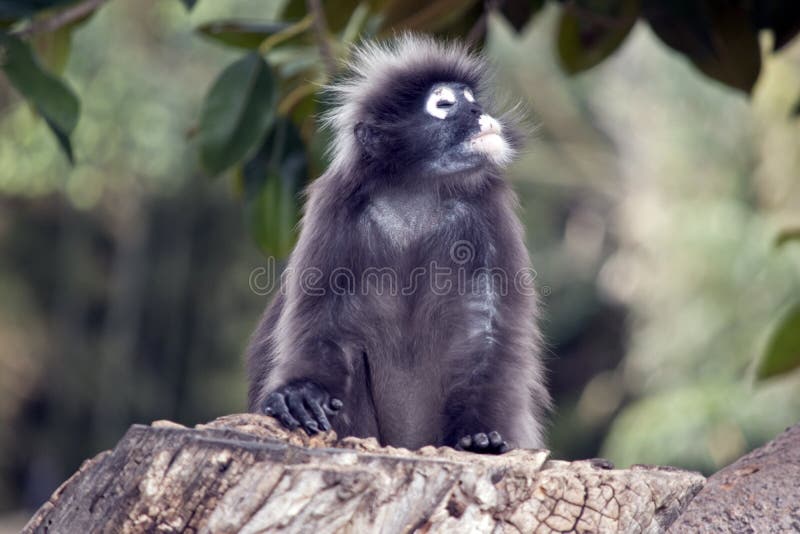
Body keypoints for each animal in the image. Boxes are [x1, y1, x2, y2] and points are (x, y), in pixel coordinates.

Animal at [247, 34, 550, 454]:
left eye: (472, 99)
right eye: (444, 104)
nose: (478, 111)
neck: (415, 192)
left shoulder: (487, 211)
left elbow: (488, 334)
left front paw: (480, 435)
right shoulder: (336, 205)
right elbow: (321, 321)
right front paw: (301, 393)